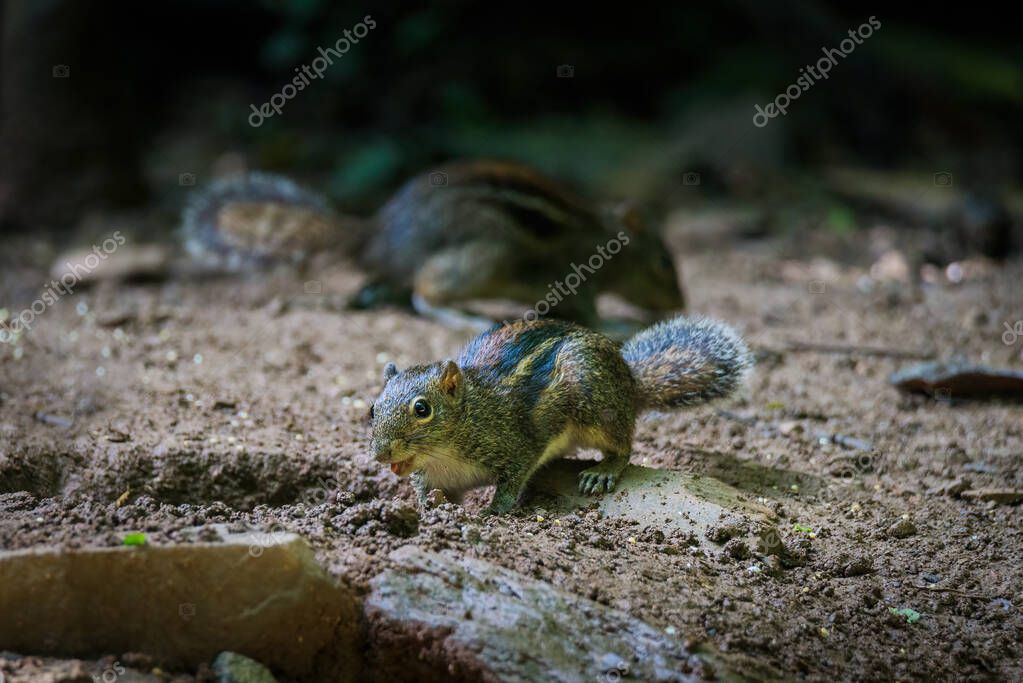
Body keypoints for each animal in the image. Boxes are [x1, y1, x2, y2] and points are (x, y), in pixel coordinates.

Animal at [181, 160, 685, 329]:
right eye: (664, 262)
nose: (680, 303)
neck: (604, 237)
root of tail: (373, 235)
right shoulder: (577, 279)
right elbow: (590, 314)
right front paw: (620, 324)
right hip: (478, 260)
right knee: (425, 296)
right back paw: (467, 317)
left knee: (380, 290)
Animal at [369, 315, 751, 514]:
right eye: (373, 408)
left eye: (423, 409)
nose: (380, 454)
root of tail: (630, 384)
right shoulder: (434, 477)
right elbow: (428, 493)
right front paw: (429, 509)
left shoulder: (516, 444)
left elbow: (512, 480)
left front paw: (494, 510)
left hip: (597, 406)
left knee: (623, 447)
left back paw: (603, 471)